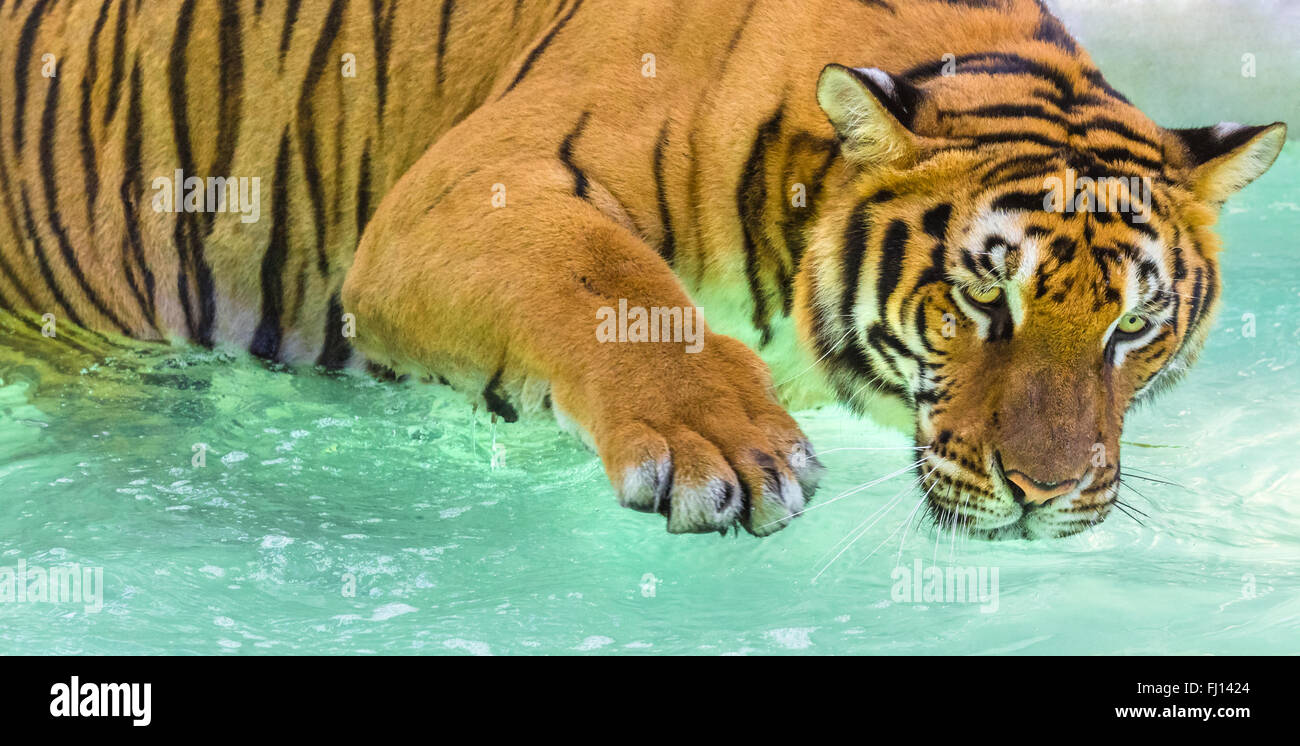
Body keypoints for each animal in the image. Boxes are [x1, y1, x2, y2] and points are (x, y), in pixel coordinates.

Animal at [0, 0, 1284, 539]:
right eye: (980, 298)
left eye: (1134, 327)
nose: (1049, 495)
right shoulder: (466, 192)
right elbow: (610, 286)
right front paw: (722, 447)